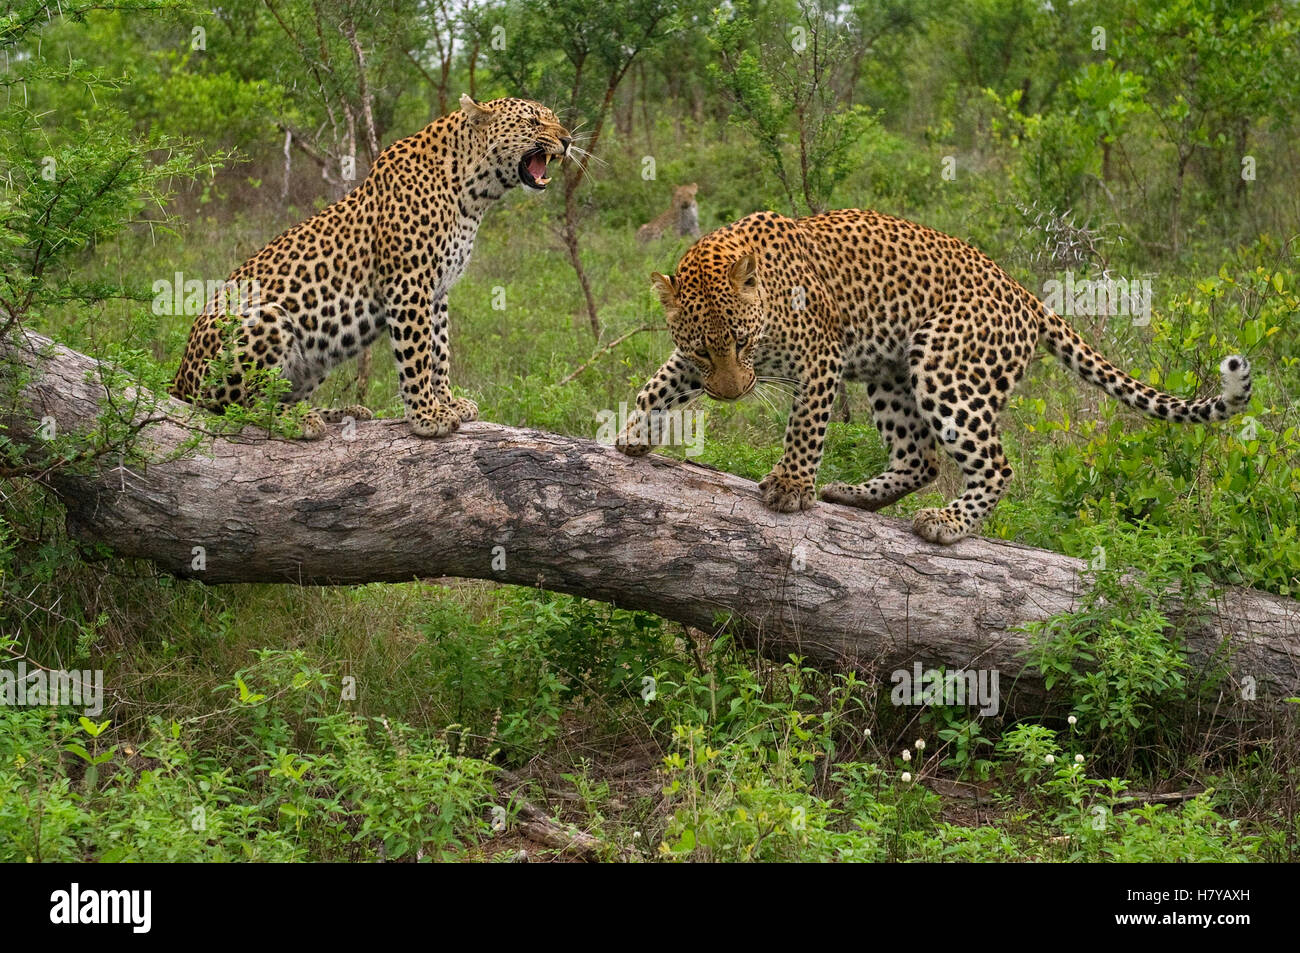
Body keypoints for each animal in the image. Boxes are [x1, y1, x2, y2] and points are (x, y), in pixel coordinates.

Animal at [170, 95, 572, 439]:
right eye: (534, 121)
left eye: (554, 119)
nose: (568, 140)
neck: (474, 192)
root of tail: (178, 378)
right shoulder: (408, 284)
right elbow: (417, 354)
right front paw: (427, 416)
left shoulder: (438, 291)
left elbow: (440, 351)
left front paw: (448, 402)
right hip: (267, 318)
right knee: (238, 407)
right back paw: (300, 420)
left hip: (315, 356)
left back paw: (341, 411)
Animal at [616, 208, 1252, 545]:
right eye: (703, 350)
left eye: (742, 341)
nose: (732, 394)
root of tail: (1026, 295)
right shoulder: (693, 365)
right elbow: (658, 384)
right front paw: (630, 434)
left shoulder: (821, 358)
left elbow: (805, 427)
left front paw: (791, 487)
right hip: (891, 373)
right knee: (920, 459)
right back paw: (854, 495)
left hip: (941, 365)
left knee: (994, 464)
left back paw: (947, 522)